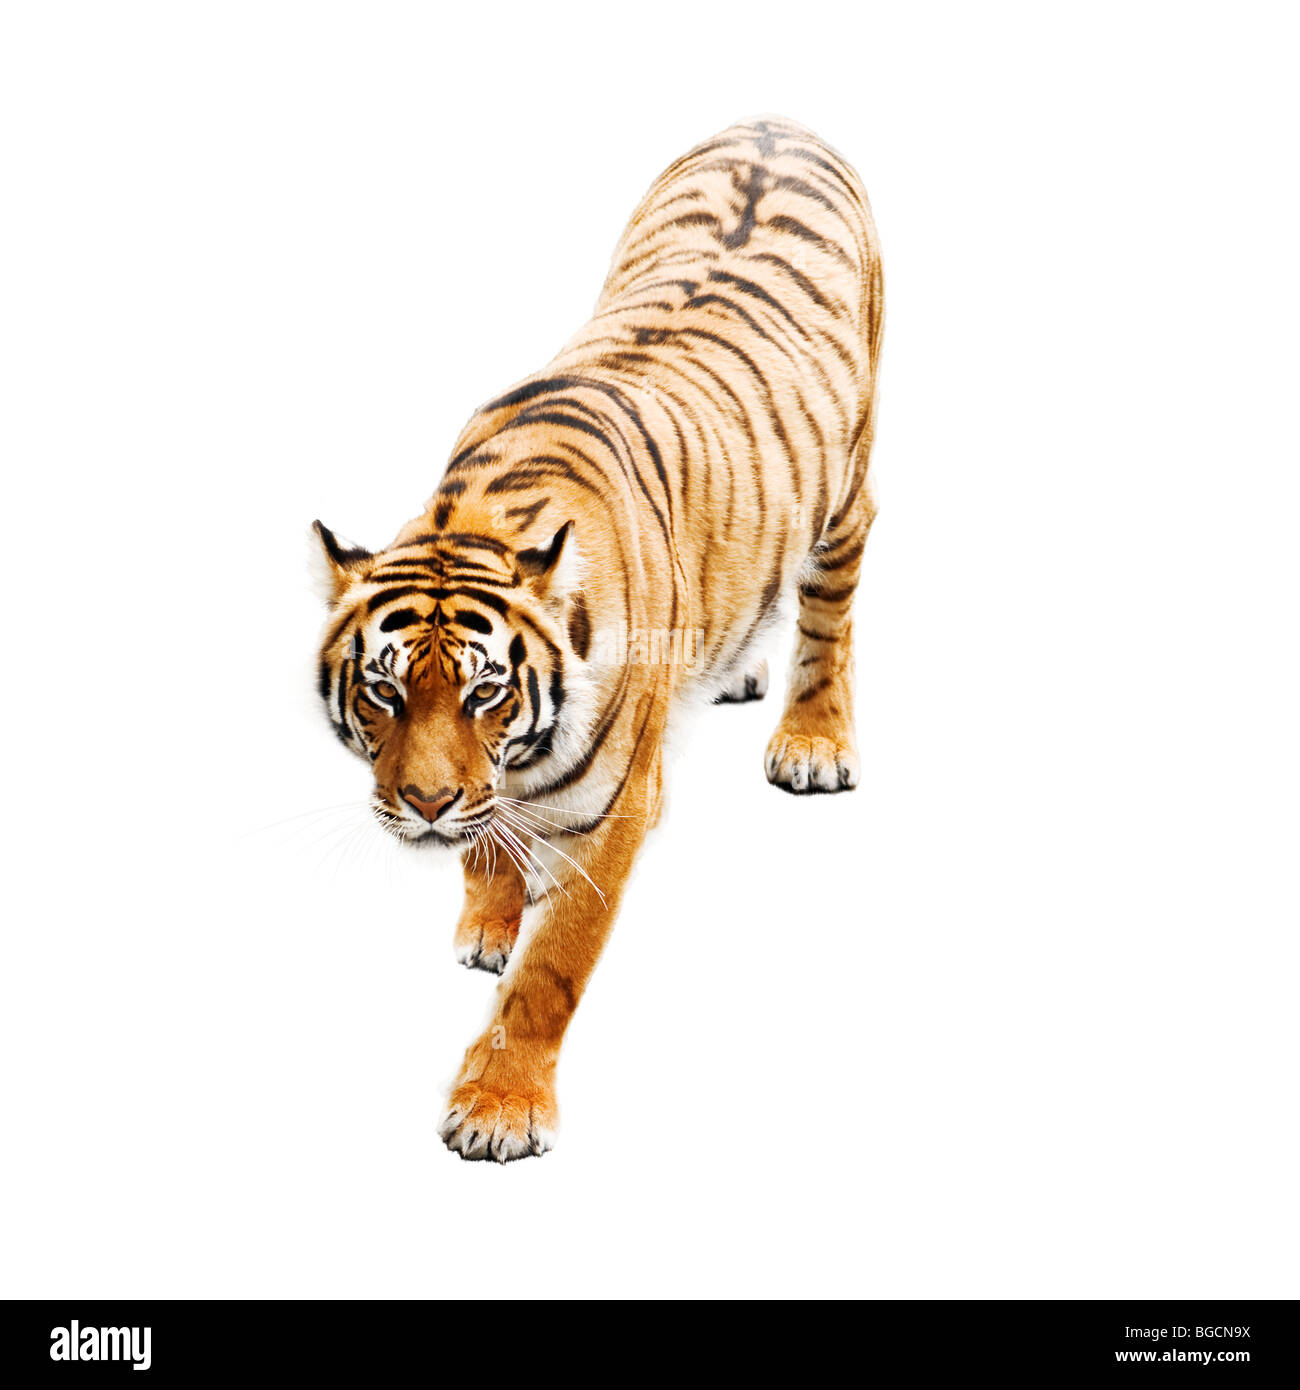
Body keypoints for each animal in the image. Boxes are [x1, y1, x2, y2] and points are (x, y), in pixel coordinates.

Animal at [311, 117, 884, 1161]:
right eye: (382, 691)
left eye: (485, 692)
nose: (421, 805)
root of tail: (775, 122)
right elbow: (490, 843)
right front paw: (489, 921)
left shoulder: (605, 814)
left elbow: (554, 970)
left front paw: (500, 1108)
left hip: (847, 489)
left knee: (830, 613)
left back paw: (814, 741)